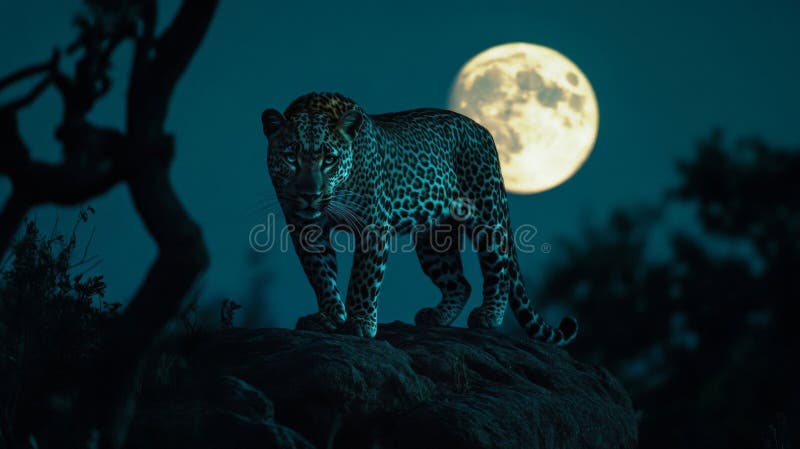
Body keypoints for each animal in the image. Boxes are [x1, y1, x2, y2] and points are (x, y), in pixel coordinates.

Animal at [260, 92, 577, 345]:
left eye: (330, 159)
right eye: (290, 157)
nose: (309, 195)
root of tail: (483, 129)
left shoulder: (373, 225)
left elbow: (363, 279)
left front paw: (359, 322)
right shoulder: (306, 228)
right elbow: (320, 274)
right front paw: (328, 316)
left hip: (488, 215)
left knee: (497, 270)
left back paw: (488, 315)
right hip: (434, 240)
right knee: (460, 283)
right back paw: (438, 316)